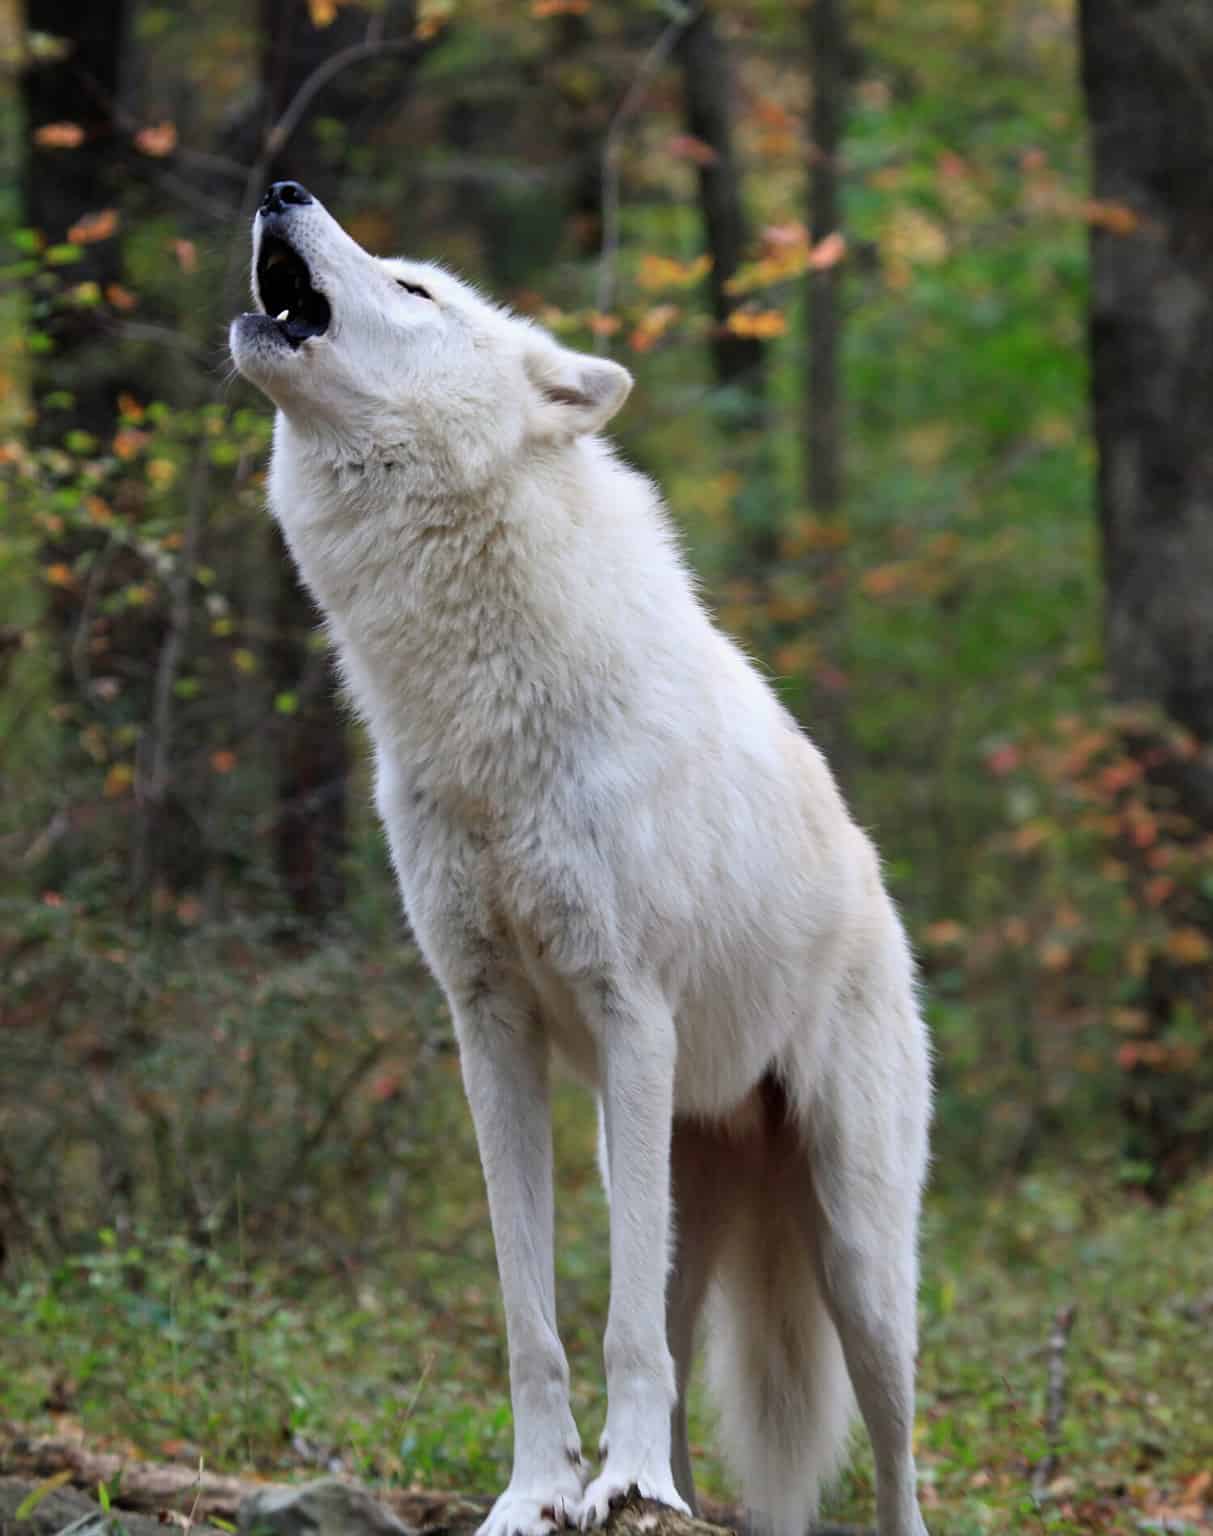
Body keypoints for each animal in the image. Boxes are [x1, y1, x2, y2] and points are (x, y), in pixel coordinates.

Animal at [231, 181, 932, 1536]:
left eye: (414, 287)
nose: (283, 191)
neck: (469, 710)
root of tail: (880, 893)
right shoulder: (487, 1024)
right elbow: (535, 1320)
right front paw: (540, 1492)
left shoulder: (628, 1008)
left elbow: (617, 1334)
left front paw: (625, 1482)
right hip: (661, 1166)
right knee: (677, 1343)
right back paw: (667, 1493)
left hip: (856, 1254)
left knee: (887, 1445)